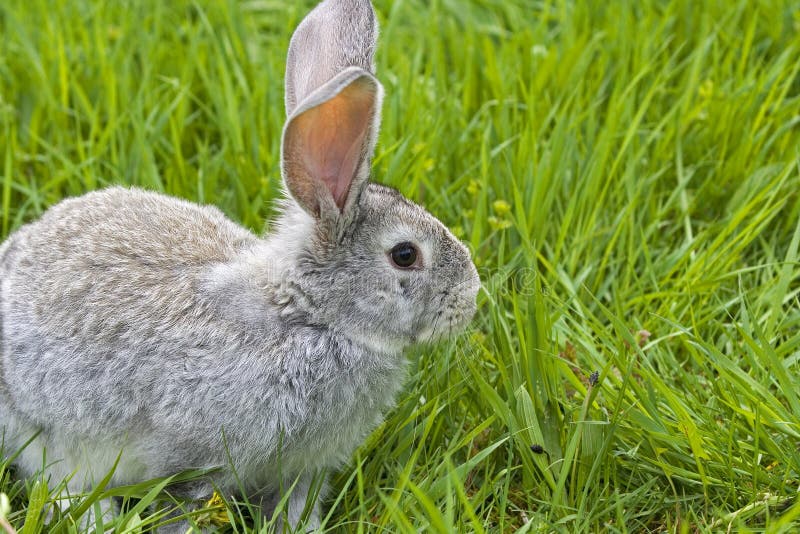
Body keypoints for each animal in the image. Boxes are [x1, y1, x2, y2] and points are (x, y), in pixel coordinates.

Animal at [0, 0, 479, 531]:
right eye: (405, 255)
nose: (471, 296)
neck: (308, 316)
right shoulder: (192, 459)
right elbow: (177, 506)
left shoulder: (301, 469)